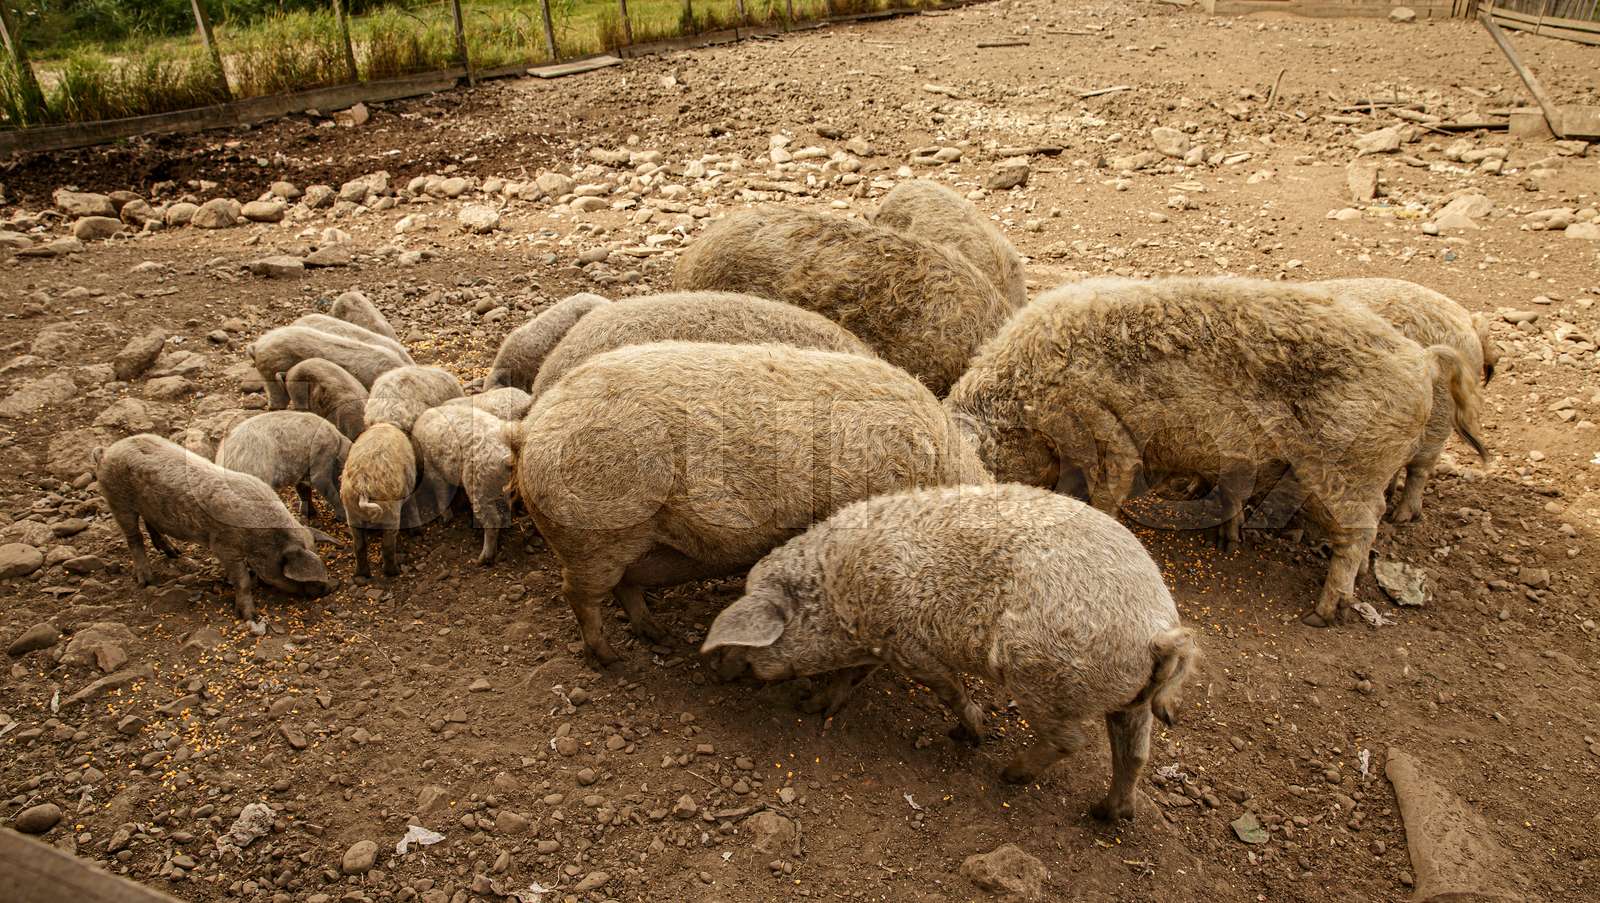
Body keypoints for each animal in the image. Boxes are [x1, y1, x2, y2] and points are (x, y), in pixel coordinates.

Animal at [95, 433, 333, 619]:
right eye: (292, 574)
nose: (330, 588)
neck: (261, 534)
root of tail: (106, 452)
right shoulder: (224, 546)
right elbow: (242, 580)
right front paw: (250, 616)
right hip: (118, 501)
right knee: (134, 537)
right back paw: (147, 581)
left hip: (147, 506)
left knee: (150, 524)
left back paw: (174, 553)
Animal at [215, 411, 351, 522]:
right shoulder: (322, 456)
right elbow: (325, 487)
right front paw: (342, 517)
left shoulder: (302, 472)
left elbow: (303, 490)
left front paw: (310, 513)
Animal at [703, 483, 1196, 821]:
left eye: (745, 640)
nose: (718, 668)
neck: (837, 601)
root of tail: (1157, 630)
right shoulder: (879, 644)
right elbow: (850, 677)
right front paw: (814, 706)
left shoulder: (912, 647)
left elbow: (948, 690)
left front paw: (969, 734)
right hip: (1131, 701)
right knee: (1135, 753)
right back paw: (1108, 814)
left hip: (1042, 676)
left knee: (1071, 740)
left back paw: (1009, 774)